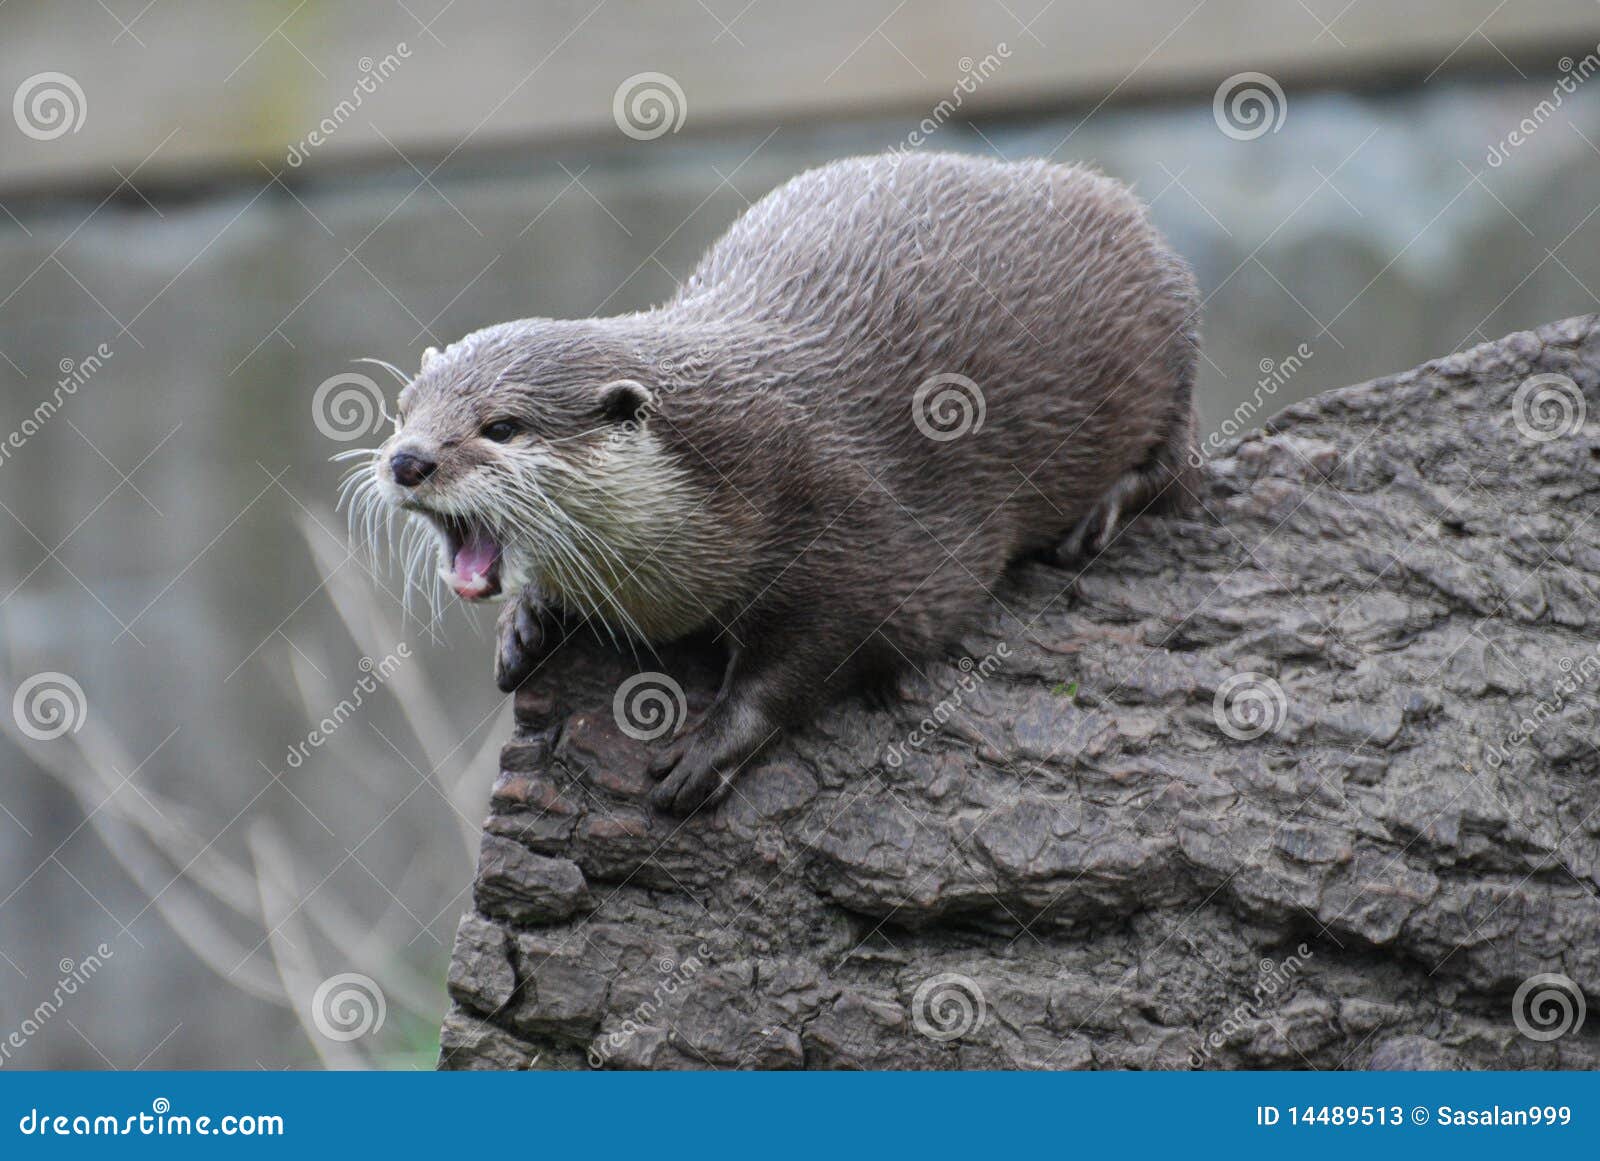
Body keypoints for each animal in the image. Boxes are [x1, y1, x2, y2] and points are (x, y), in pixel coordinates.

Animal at [350, 152, 1199, 815]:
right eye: (404, 410)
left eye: (501, 426)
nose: (408, 460)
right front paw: (526, 623)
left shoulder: (849, 524)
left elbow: (822, 650)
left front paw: (709, 749)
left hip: (1167, 327)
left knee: (1174, 461)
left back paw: (1097, 516)